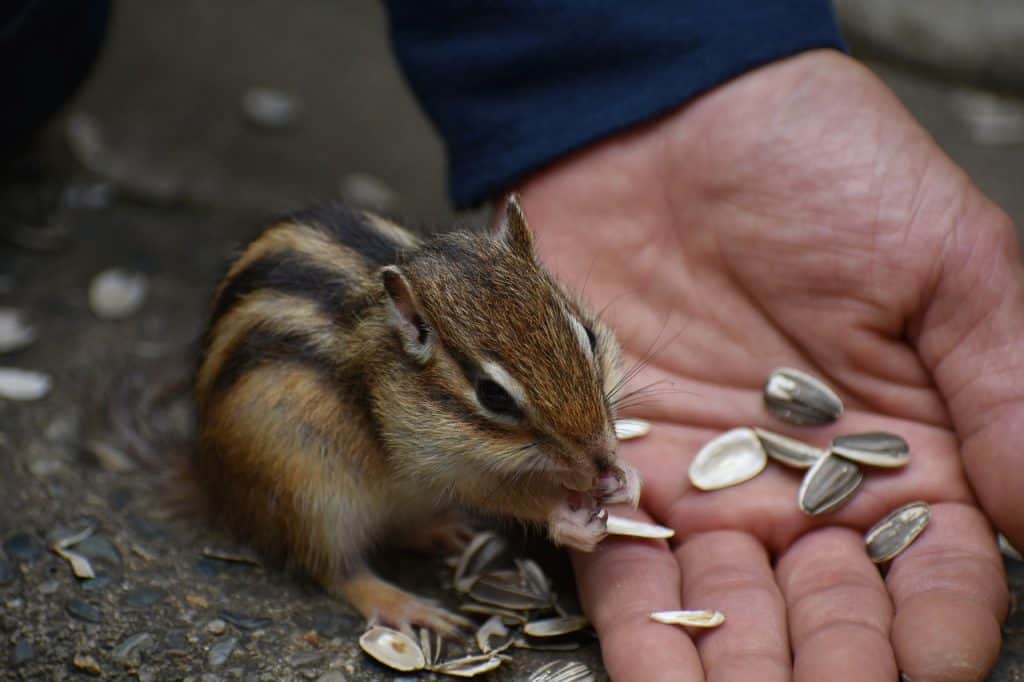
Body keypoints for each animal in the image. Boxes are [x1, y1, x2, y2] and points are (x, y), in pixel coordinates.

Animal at [193, 195, 641, 634]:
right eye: (493, 395)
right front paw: (564, 516)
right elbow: (493, 491)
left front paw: (624, 479)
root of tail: (212, 477)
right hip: (303, 492)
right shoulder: (431, 460)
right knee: (333, 568)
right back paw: (404, 605)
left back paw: (446, 531)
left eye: (588, 335)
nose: (602, 458)